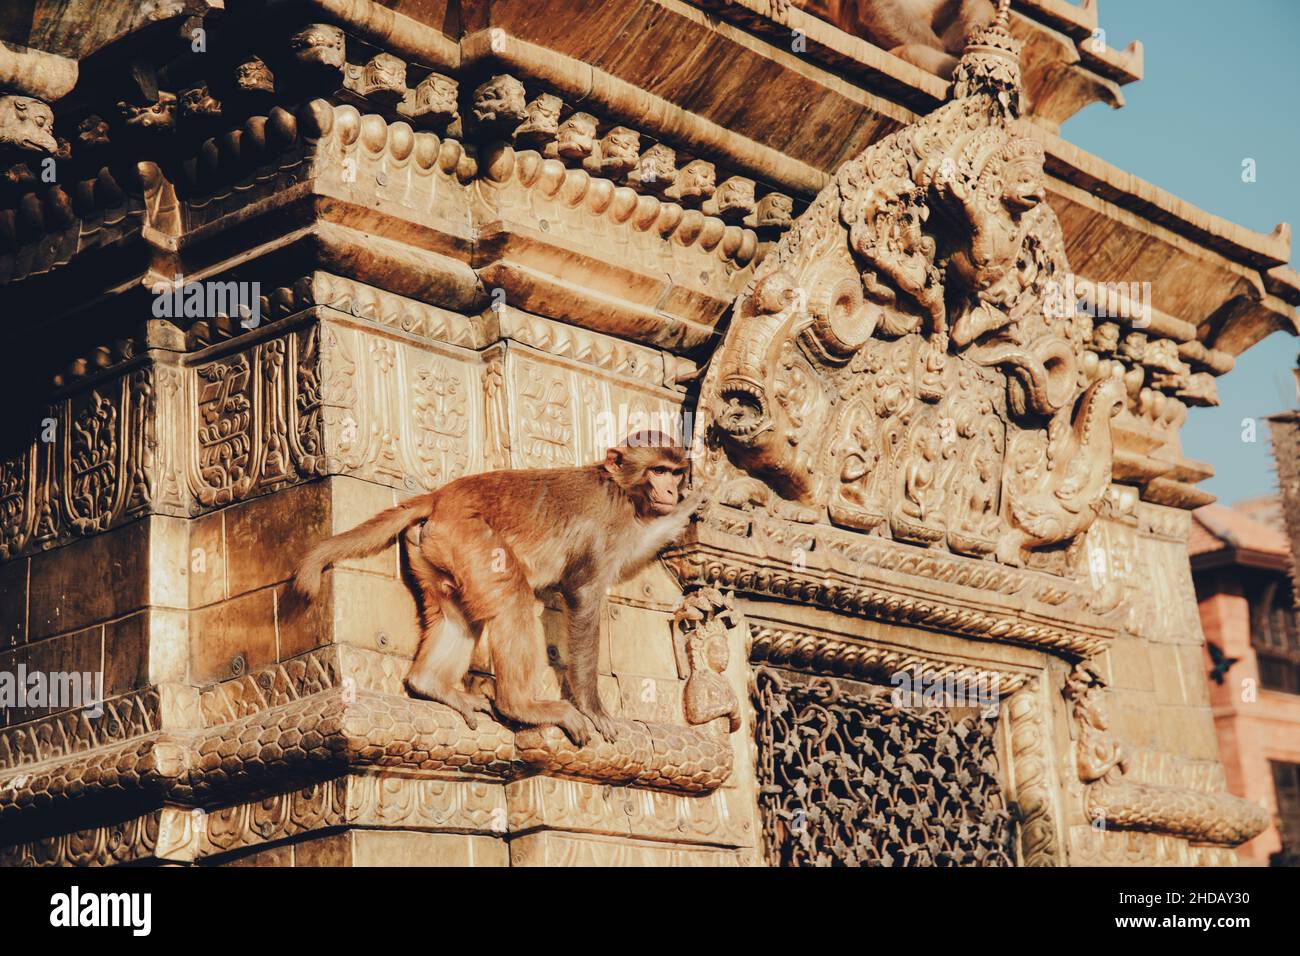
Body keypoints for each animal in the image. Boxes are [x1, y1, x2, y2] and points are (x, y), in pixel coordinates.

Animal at [289, 432, 704, 747]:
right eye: (658, 470)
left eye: (675, 472)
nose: (671, 489)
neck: (620, 489)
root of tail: (440, 497)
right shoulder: (608, 524)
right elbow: (583, 594)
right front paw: (593, 708)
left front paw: (692, 504)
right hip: (471, 538)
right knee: (513, 600)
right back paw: (520, 705)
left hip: (432, 549)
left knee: (458, 615)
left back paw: (431, 684)